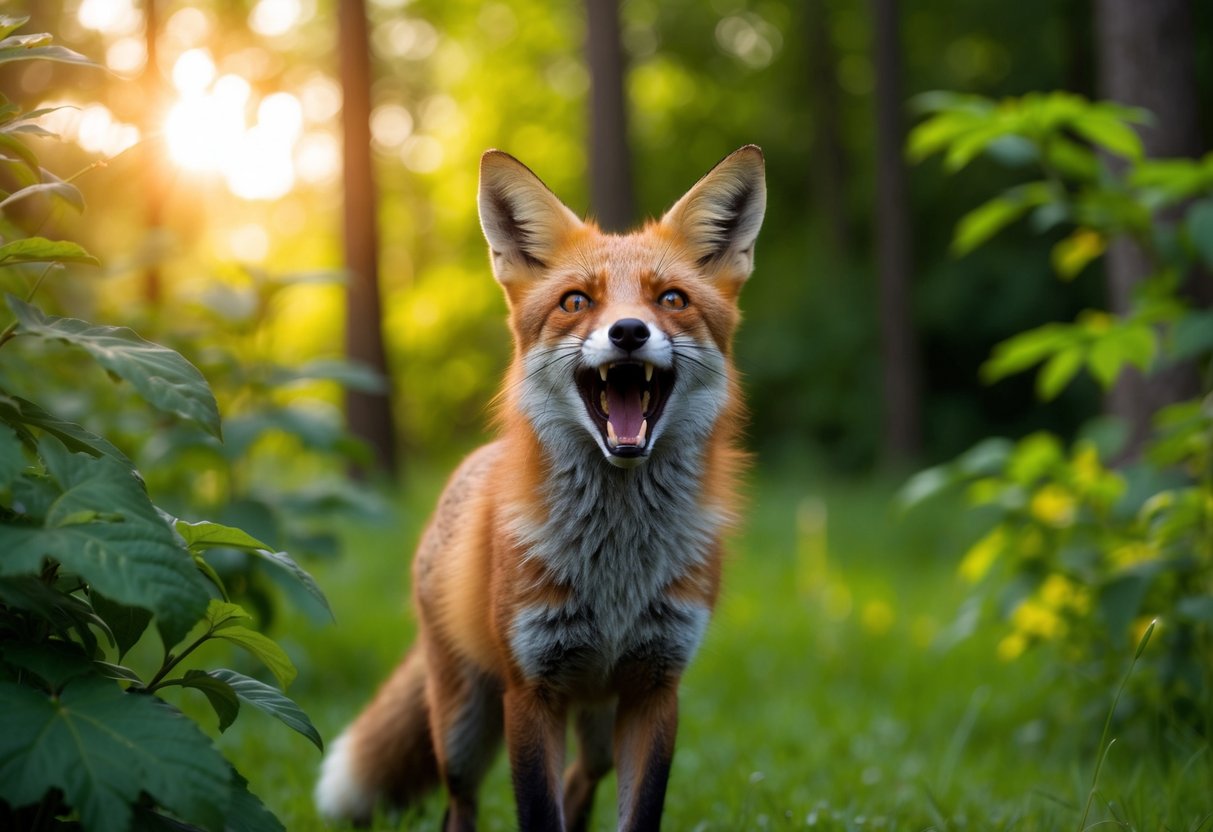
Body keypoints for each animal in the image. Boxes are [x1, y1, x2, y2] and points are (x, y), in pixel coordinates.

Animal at [315, 145, 766, 831]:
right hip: (465, 725)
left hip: (601, 718)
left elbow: (635, 814)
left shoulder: (657, 686)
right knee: (458, 806)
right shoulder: (530, 688)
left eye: (672, 298)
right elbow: (536, 811)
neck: (616, 571)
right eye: (576, 302)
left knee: (583, 777)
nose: (629, 331)